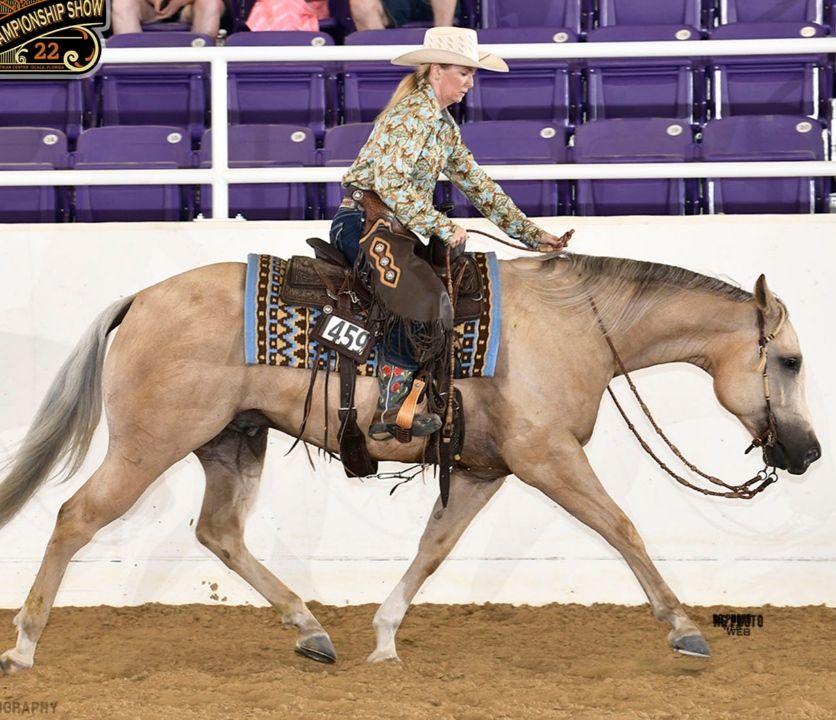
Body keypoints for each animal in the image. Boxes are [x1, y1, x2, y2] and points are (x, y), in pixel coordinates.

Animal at [0, 251, 821, 674]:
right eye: (789, 359)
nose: (808, 451)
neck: (571, 326)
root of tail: (139, 299)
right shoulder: (548, 456)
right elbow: (622, 528)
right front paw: (683, 627)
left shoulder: (486, 470)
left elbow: (433, 548)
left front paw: (386, 636)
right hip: (148, 445)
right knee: (75, 517)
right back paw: (25, 646)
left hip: (232, 439)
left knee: (220, 533)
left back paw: (312, 628)